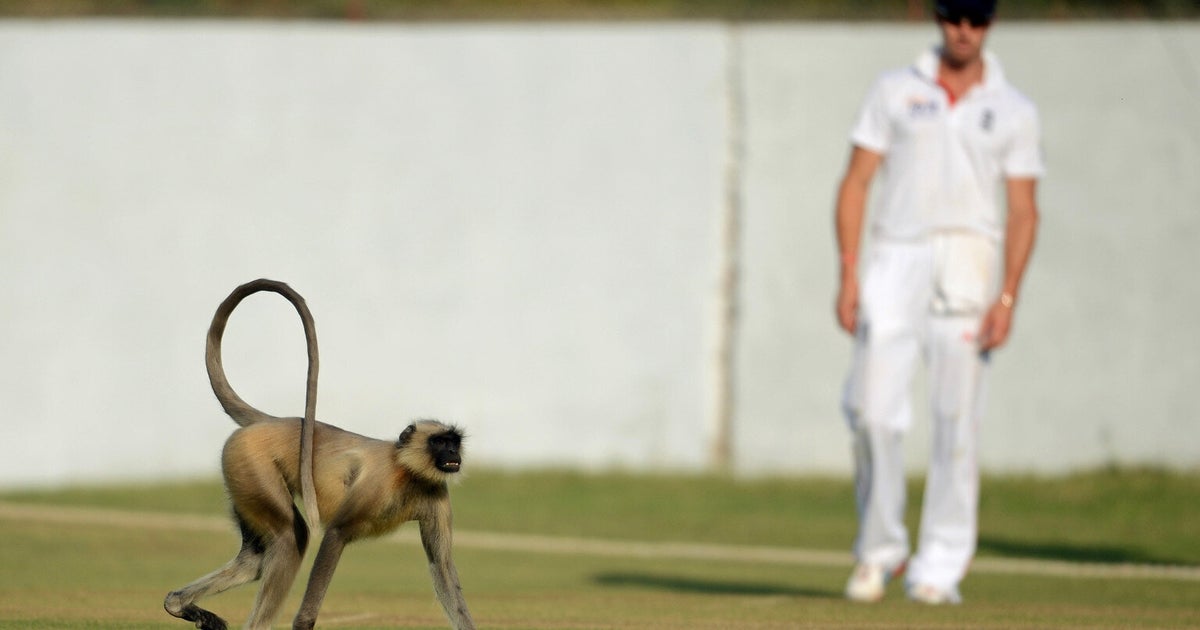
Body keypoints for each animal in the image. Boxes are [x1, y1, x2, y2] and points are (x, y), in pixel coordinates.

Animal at [164, 279, 475, 630]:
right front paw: (303, 623)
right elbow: (334, 535)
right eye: (439, 442)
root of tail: (271, 422)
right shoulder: (378, 482)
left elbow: (442, 566)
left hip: (241, 476)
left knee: (255, 560)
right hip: (250, 463)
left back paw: (177, 603)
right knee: (290, 538)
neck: (408, 472)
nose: (452, 453)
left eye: (454, 441)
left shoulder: (436, 493)